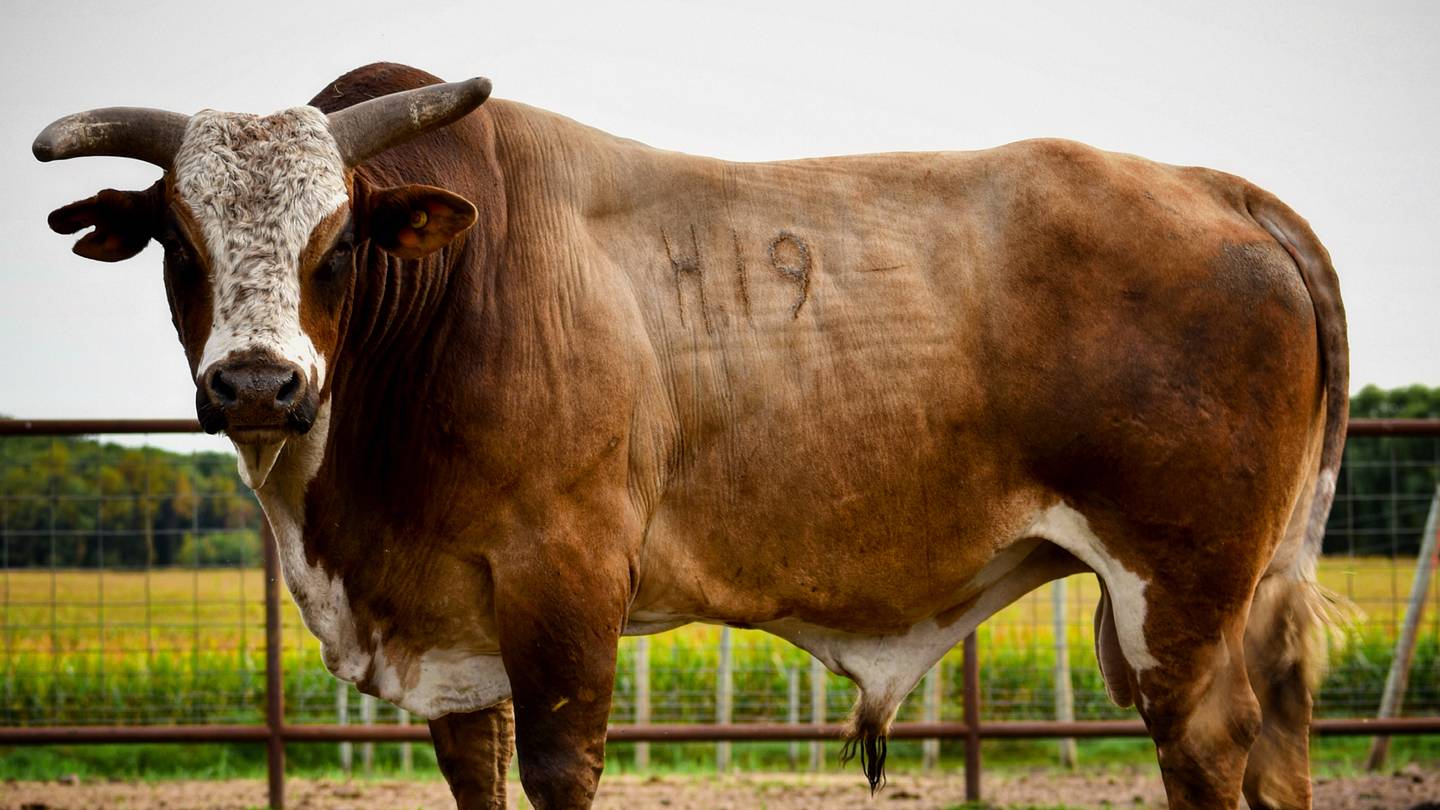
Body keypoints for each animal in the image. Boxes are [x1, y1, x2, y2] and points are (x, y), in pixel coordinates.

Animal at [33, 62, 1346, 810]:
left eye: (340, 237)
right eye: (177, 237)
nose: (258, 385)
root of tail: (1214, 189)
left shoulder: (564, 583)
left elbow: (559, 770)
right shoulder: (451, 625)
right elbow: (476, 772)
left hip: (1176, 594)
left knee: (1211, 749)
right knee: (1273, 750)